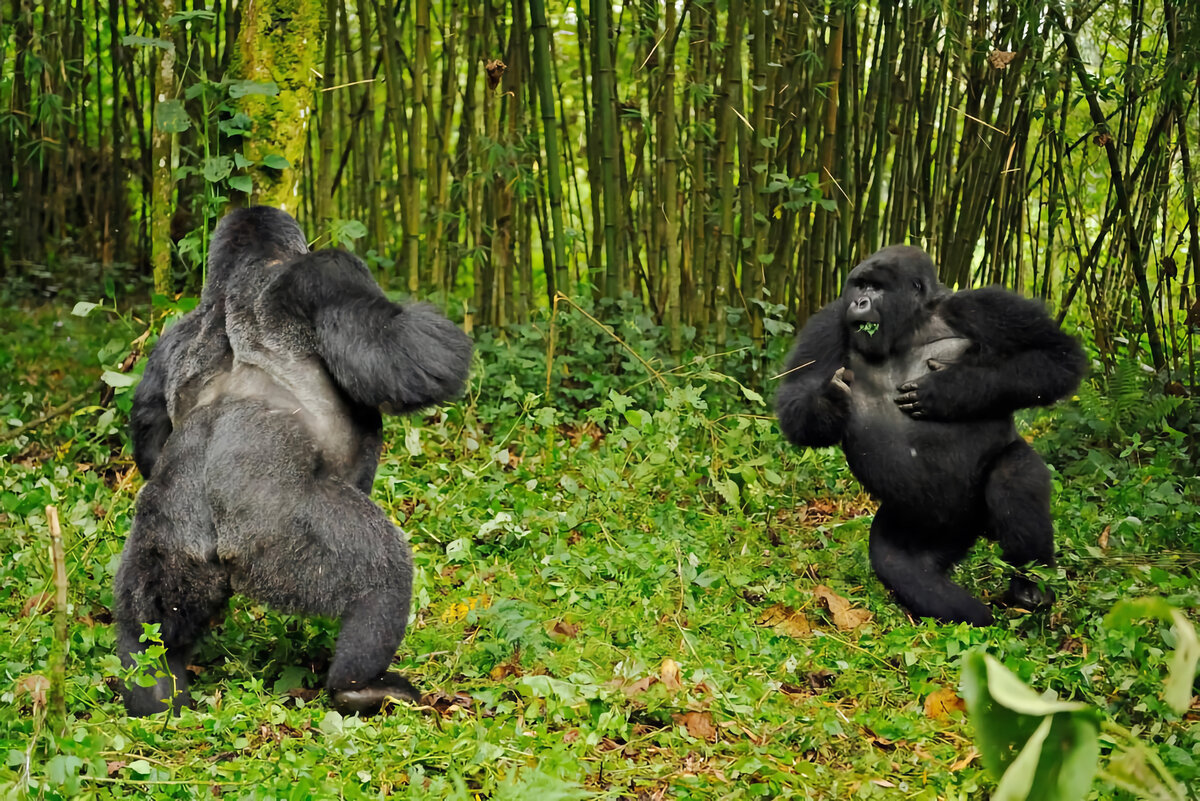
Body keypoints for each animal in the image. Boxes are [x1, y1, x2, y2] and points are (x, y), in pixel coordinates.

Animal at [115, 205, 472, 714]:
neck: (239, 277)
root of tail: (218, 542)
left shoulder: (171, 335)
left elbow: (149, 425)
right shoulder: (329, 270)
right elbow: (409, 354)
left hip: (167, 546)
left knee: (144, 623)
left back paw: (154, 690)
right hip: (282, 543)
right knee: (383, 574)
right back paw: (359, 686)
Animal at [777, 244, 1089, 623]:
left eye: (877, 288)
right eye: (859, 286)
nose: (860, 302)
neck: (908, 328)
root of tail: (977, 530)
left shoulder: (981, 305)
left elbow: (1057, 357)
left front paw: (949, 388)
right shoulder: (830, 320)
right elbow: (795, 398)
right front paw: (830, 399)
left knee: (1015, 473)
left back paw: (1030, 587)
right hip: (930, 525)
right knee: (902, 566)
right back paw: (975, 617)